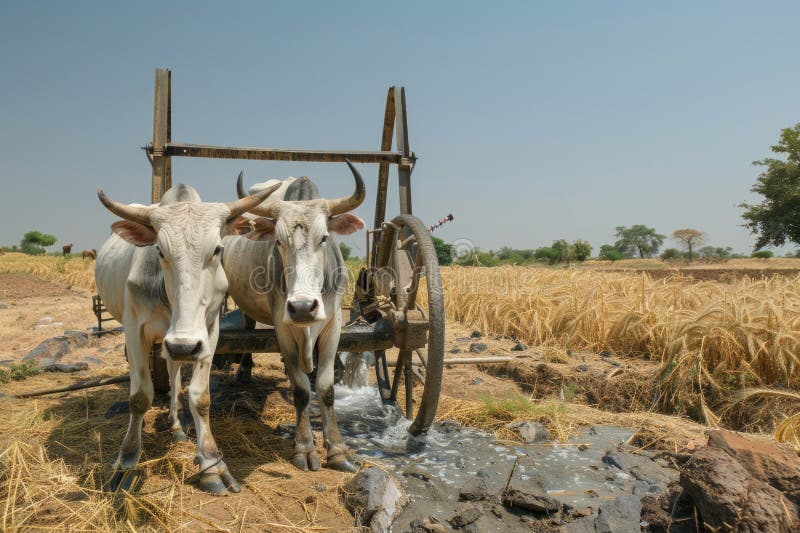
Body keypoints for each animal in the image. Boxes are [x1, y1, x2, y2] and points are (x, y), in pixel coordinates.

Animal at [94, 182, 278, 494]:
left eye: (217, 249)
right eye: (160, 250)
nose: (183, 344)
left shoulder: (208, 333)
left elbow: (200, 397)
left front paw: (211, 464)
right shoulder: (134, 331)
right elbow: (139, 397)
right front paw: (126, 462)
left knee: (175, 372)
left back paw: (177, 426)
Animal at [222, 162, 365, 472]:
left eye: (324, 238)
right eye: (278, 240)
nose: (302, 307)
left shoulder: (333, 326)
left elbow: (325, 388)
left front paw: (337, 449)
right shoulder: (282, 327)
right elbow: (301, 390)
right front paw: (305, 448)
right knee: (246, 328)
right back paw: (244, 370)